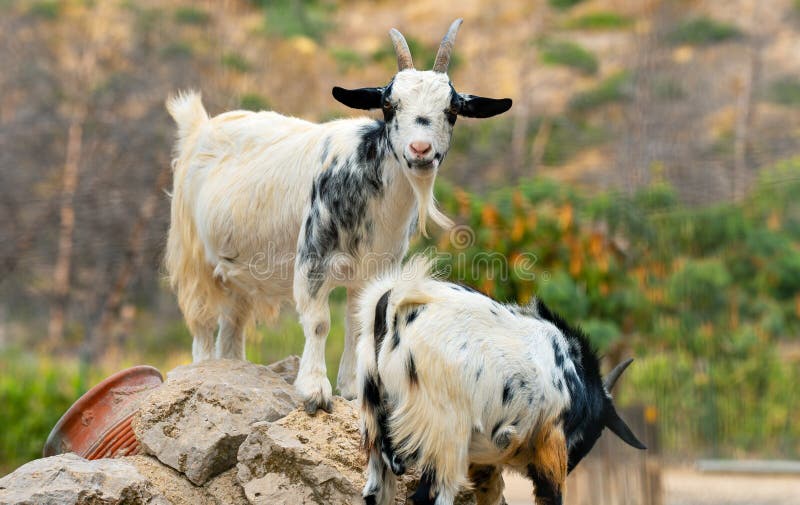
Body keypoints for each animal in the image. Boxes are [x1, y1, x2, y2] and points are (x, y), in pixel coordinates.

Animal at [164, 20, 512, 413]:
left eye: (452, 110)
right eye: (388, 105)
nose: (420, 149)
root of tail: (198, 126)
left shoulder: (374, 270)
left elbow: (359, 325)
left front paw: (351, 388)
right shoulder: (313, 257)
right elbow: (318, 322)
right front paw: (315, 391)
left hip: (237, 275)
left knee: (232, 329)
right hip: (193, 257)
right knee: (203, 325)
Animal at [356, 257, 646, 505]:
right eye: (597, 431)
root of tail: (395, 307)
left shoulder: (485, 462)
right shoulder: (551, 444)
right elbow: (550, 495)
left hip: (376, 424)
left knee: (375, 492)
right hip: (445, 438)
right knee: (432, 496)